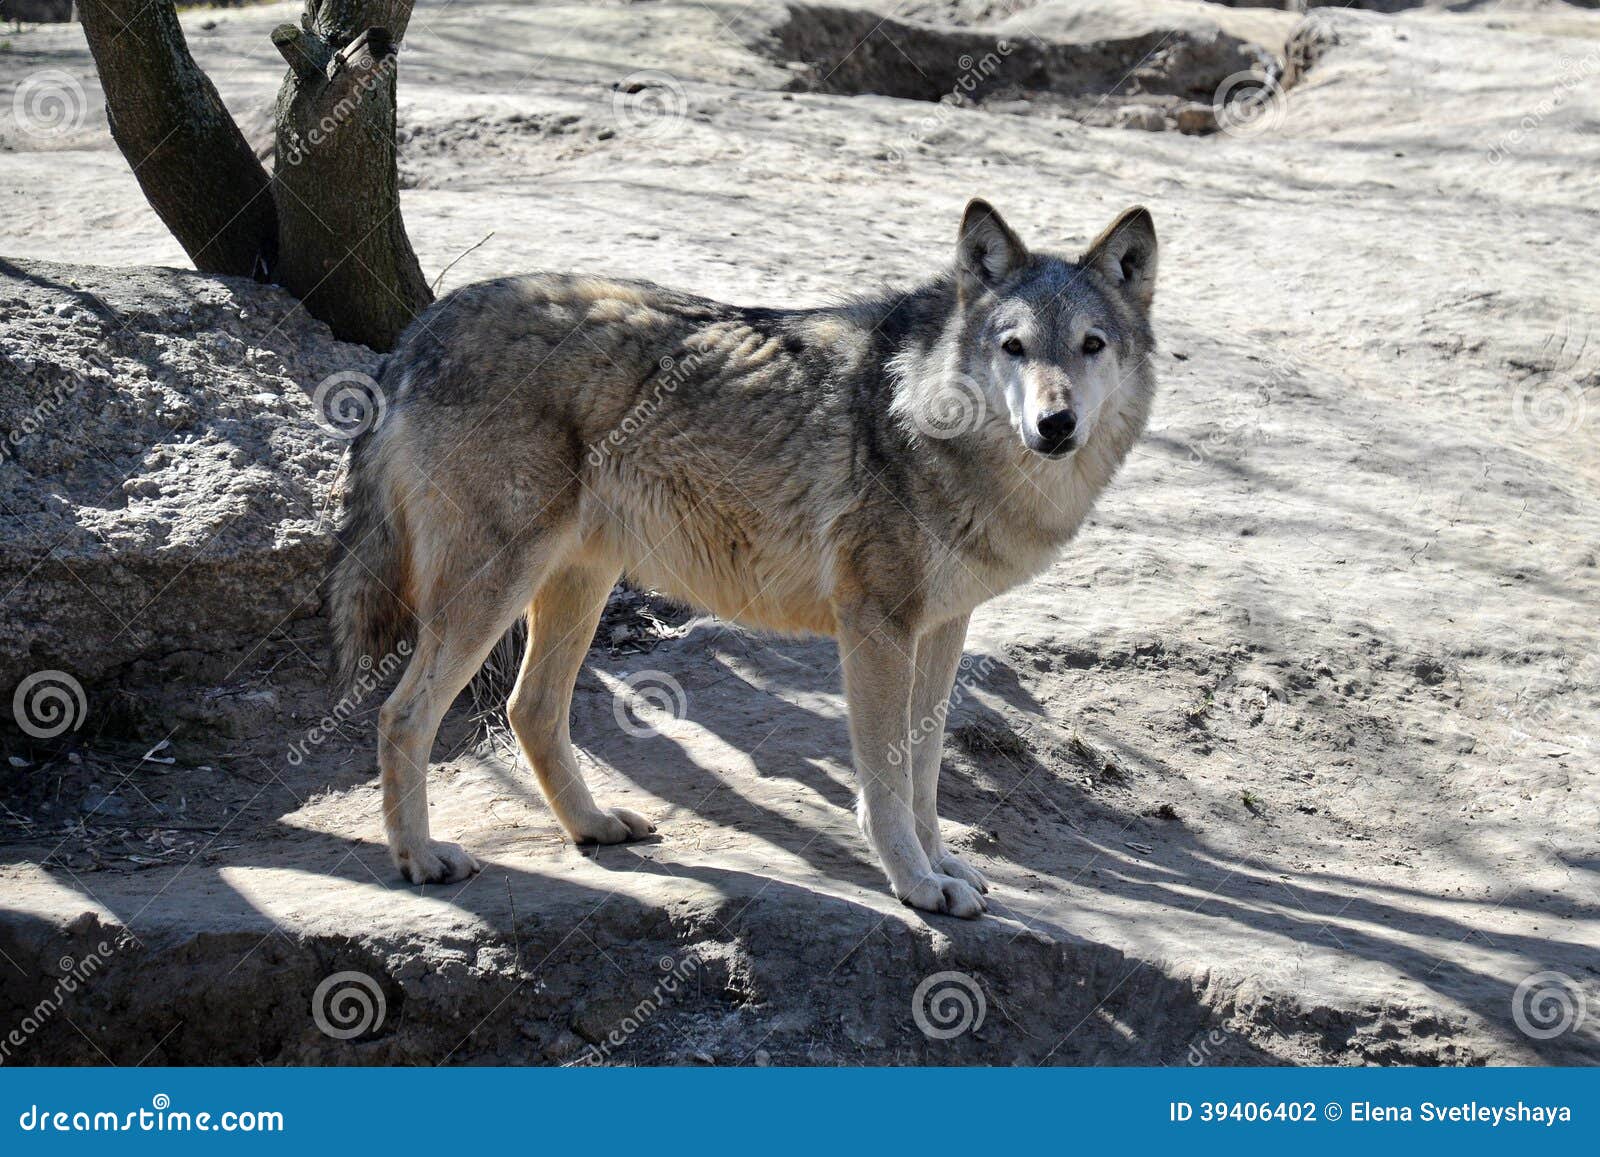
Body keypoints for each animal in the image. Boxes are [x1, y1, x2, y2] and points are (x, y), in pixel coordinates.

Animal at [328, 200, 1157, 918]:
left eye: (1091, 345)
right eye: (1013, 347)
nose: (1055, 423)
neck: (927, 415)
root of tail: (421, 326)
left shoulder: (942, 627)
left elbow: (925, 775)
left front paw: (943, 864)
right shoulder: (876, 627)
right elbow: (888, 780)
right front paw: (917, 884)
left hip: (578, 582)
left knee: (528, 708)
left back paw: (593, 825)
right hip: (494, 589)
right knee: (403, 714)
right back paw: (421, 858)